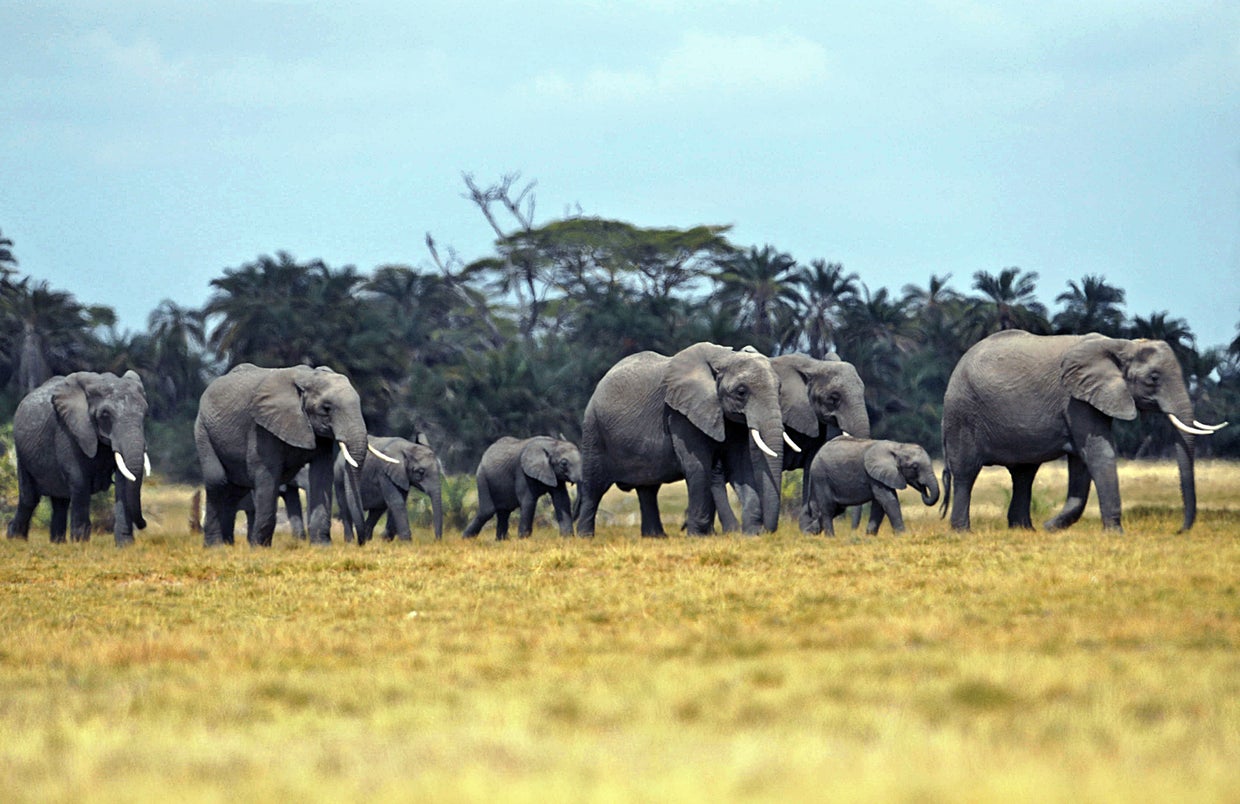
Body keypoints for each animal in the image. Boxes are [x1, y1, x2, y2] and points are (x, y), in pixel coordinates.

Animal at [7, 371, 150, 546]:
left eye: (145, 413)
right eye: (105, 414)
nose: (144, 523)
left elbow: (123, 482)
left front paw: (125, 546)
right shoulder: (69, 431)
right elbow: (79, 481)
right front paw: (81, 544)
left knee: (60, 502)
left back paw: (58, 543)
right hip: (21, 452)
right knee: (29, 498)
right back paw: (15, 540)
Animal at [194, 363, 389, 547]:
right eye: (326, 408)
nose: (360, 542)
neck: (307, 377)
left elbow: (321, 474)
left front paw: (322, 546)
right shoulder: (261, 427)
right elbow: (267, 476)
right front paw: (260, 548)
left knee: (234, 489)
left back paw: (225, 545)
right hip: (203, 430)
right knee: (217, 481)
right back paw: (216, 547)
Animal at [576, 342, 784, 537]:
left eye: (779, 389)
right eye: (741, 392)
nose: (767, 531)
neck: (723, 356)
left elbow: (740, 467)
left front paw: (751, 535)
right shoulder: (680, 415)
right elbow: (698, 467)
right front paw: (698, 537)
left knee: (648, 489)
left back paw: (656, 538)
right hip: (594, 429)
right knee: (594, 486)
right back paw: (586, 537)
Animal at [803, 437, 939, 536]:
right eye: (914, 467)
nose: (923, 488)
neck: (898, 447)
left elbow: (880, 504)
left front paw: (870, 536)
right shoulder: (874, 475)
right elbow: (888, 500)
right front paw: (903, 535)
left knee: (837, 509)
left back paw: (809, 533)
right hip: (821, 477)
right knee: (828, 508)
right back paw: (830, 537)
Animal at [941, 331, 1227, 532]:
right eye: (1154, 379)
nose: (1180, 531)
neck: (1121, 345)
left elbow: (1081, 462)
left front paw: (1051, 528)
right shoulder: (1076, 399)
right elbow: (1098, 452)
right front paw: (1115, 533)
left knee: (1023, 474)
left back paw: (1025, 530)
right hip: (962, 413)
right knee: (966, 472)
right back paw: (963, 532)